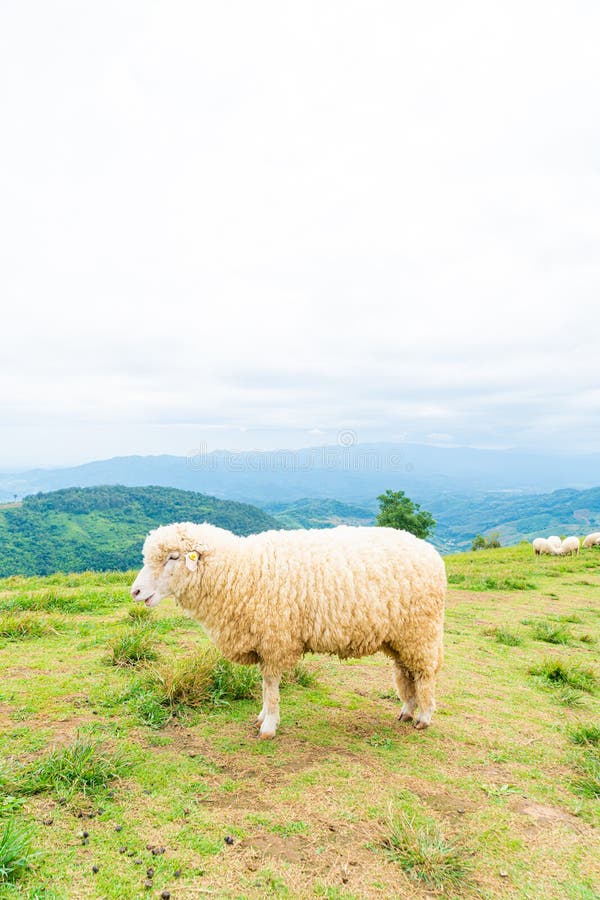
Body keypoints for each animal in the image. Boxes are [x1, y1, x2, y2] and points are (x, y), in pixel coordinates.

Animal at [131, 523, 446, 738]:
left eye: (173, 557)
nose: (135, 591)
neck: (238, 571)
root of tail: (429, 550)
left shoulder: (274, 639)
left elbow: (270, 686)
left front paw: (268, 726)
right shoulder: (263, 642)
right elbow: (263, 685)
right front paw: (261, 717)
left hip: (421, 631)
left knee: (425, 674)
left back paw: (424, 717)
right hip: (400, 637)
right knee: (406, 673)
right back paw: (407, 711)